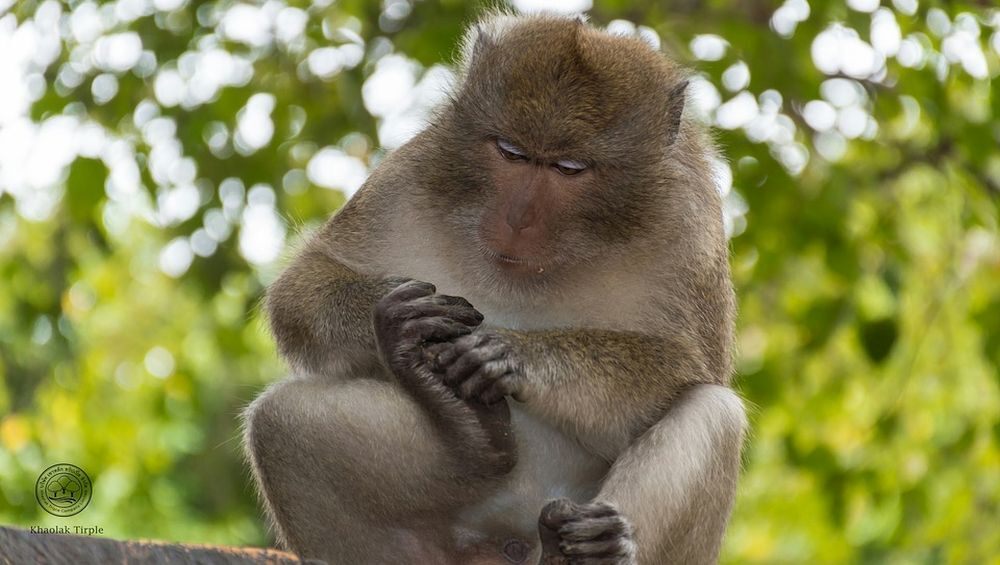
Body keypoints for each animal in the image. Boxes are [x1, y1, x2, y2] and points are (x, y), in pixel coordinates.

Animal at [244, 12, 747, 565]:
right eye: (510, 152)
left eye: (569, 168)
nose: (518, 218)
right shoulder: (422, 167)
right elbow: (305, 284)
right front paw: (400, 322)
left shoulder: (690, 217)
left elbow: (688, 364)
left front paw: (514, 353)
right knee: (280, 421)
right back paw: (470, 440)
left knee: (714, 414)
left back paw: (587, 549)